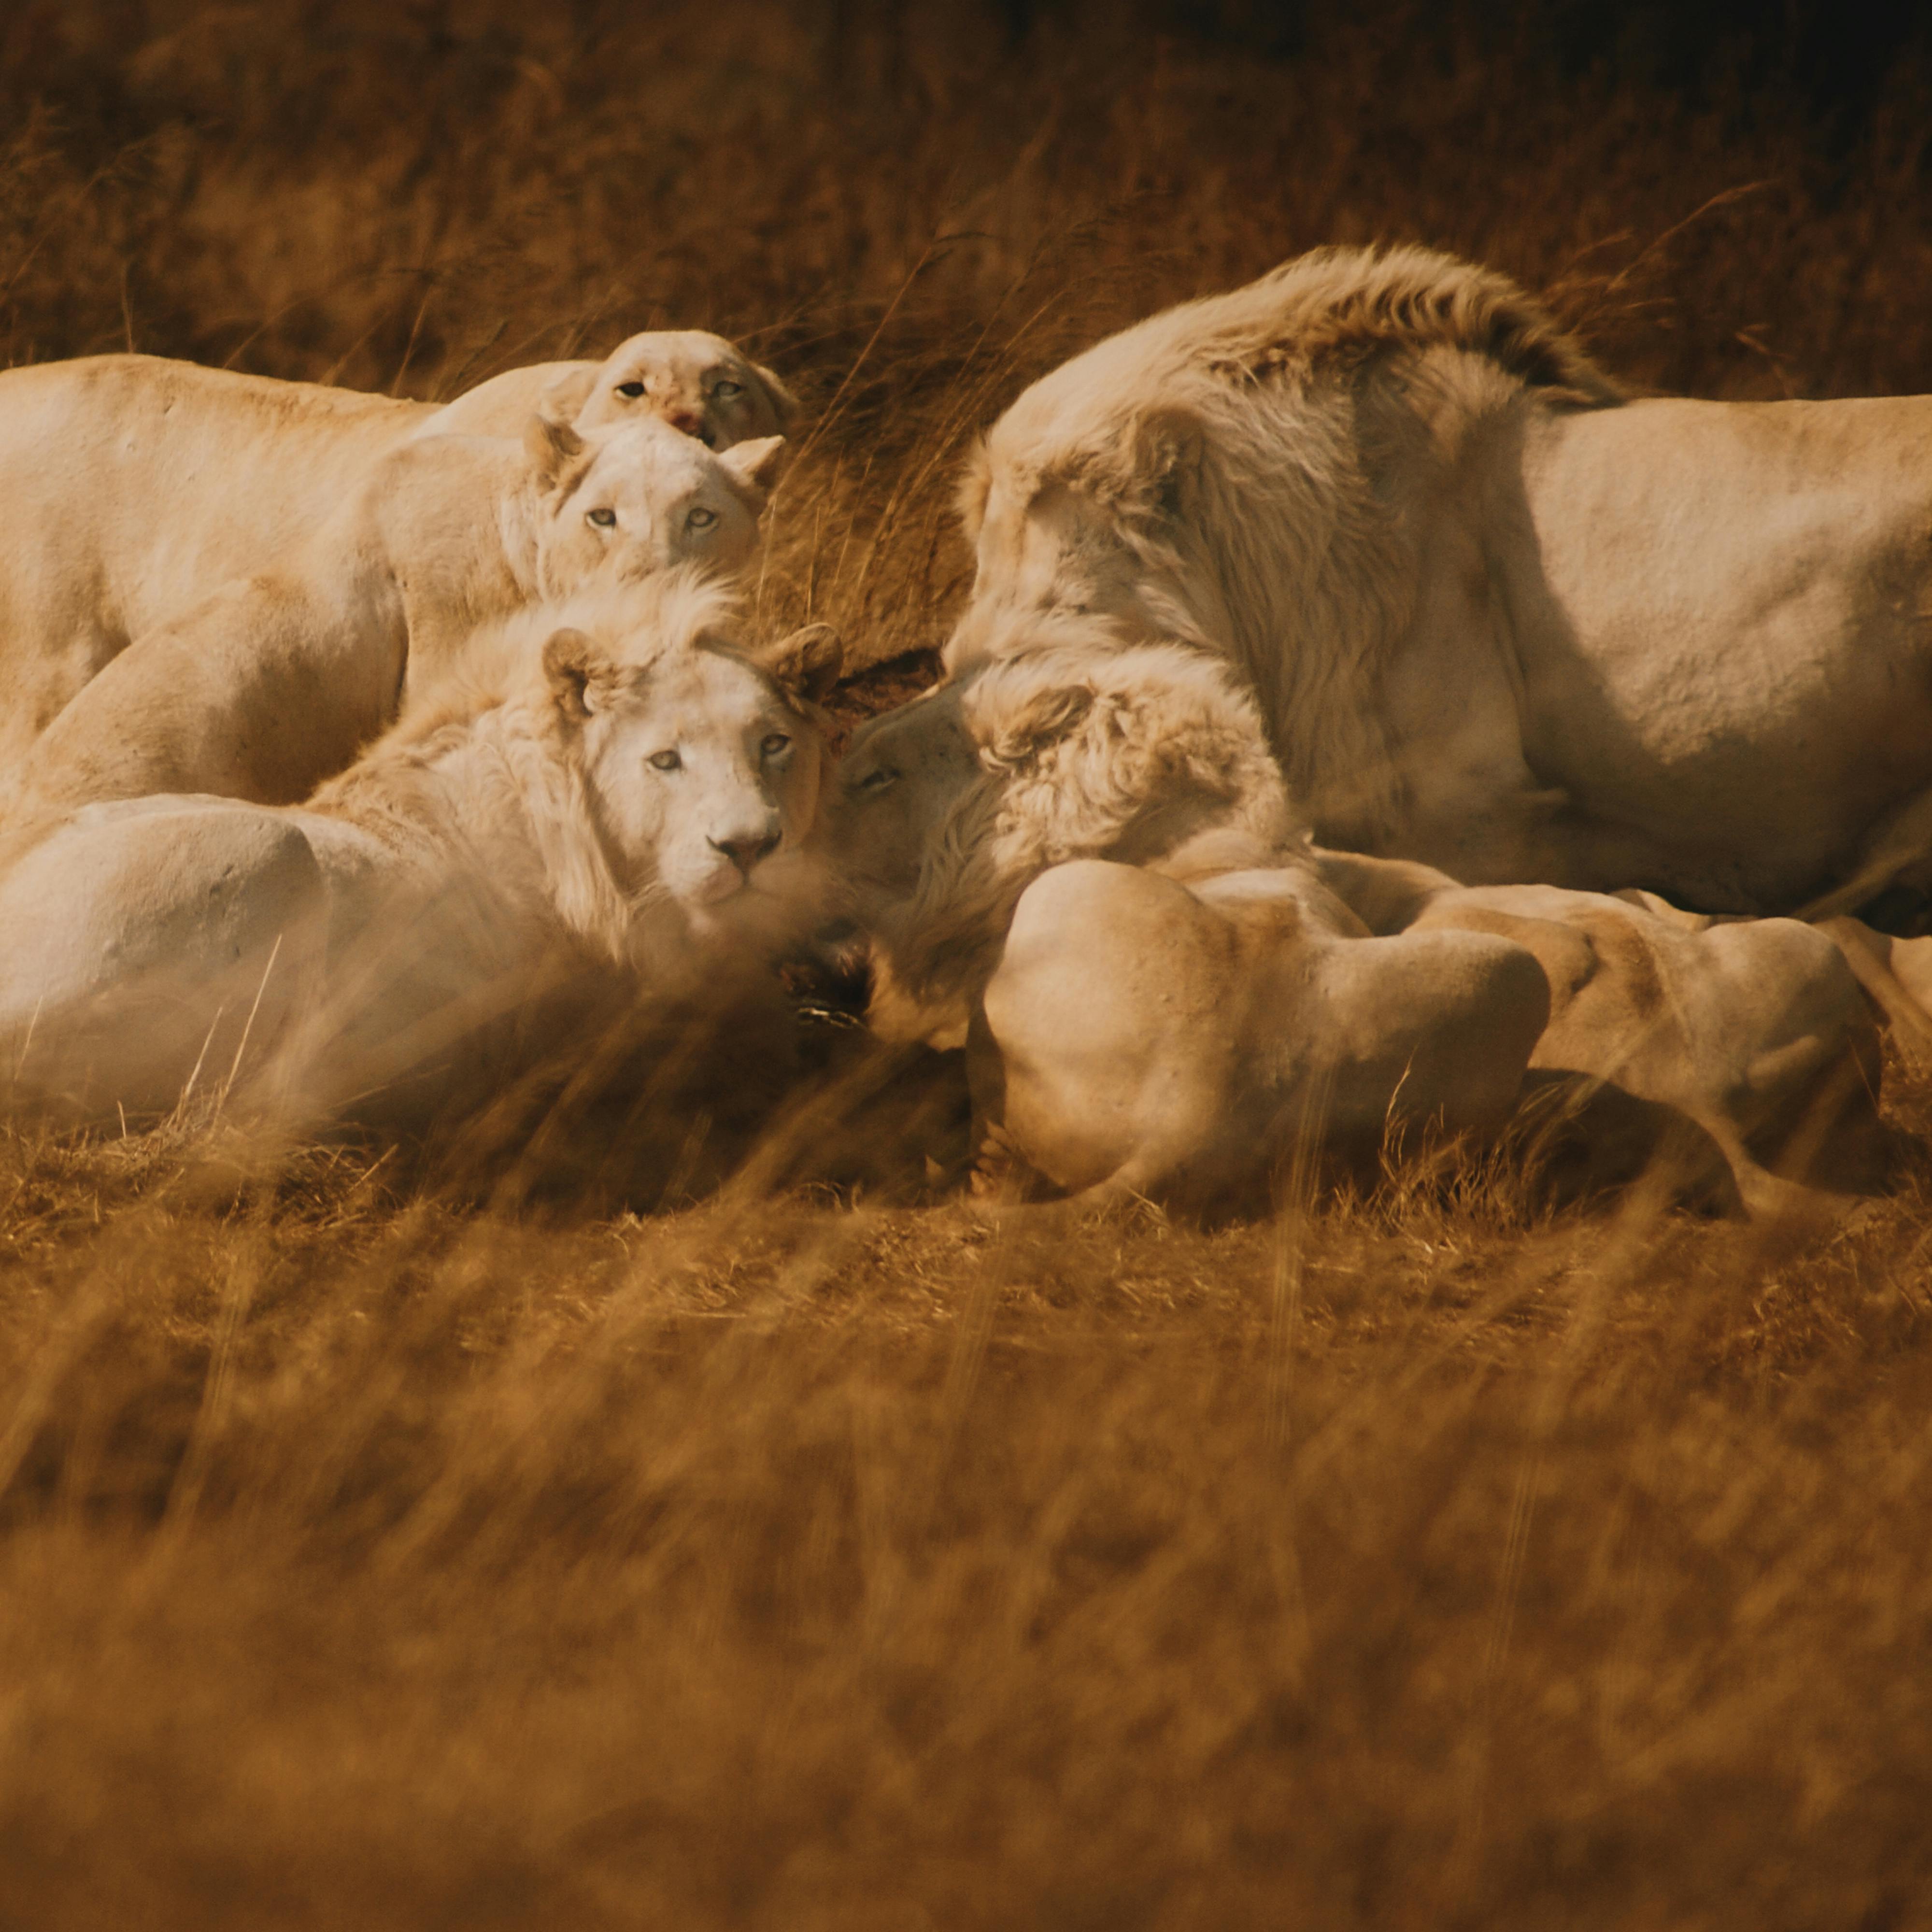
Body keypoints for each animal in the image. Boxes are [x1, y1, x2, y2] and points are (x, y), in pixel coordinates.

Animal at [821, 631, 1885, 1213]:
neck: (1193, 836)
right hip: (1531, 973)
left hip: (1066, 914)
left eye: (876, 775)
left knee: (991, 1159)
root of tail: (1193, 1109)